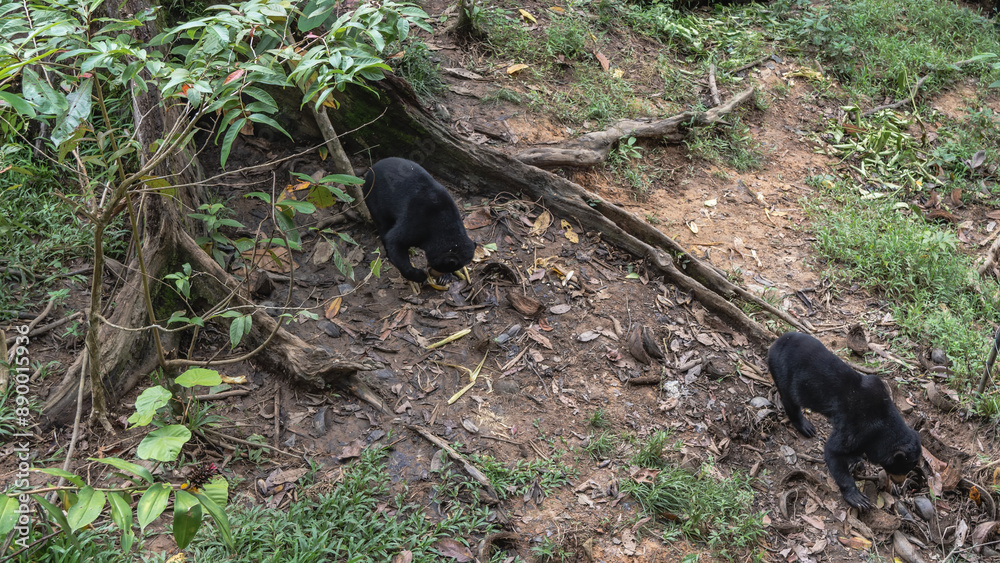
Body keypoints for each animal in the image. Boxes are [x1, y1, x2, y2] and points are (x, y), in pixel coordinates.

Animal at [767, 332, 922, 510]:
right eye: (900, 469)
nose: (901, 482)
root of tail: (777, 342)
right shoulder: (858, 428)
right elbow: (833, 451)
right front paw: (858, 499)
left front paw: (855, 460)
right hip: (783, 373)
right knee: (790, 400)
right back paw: (806, 427)